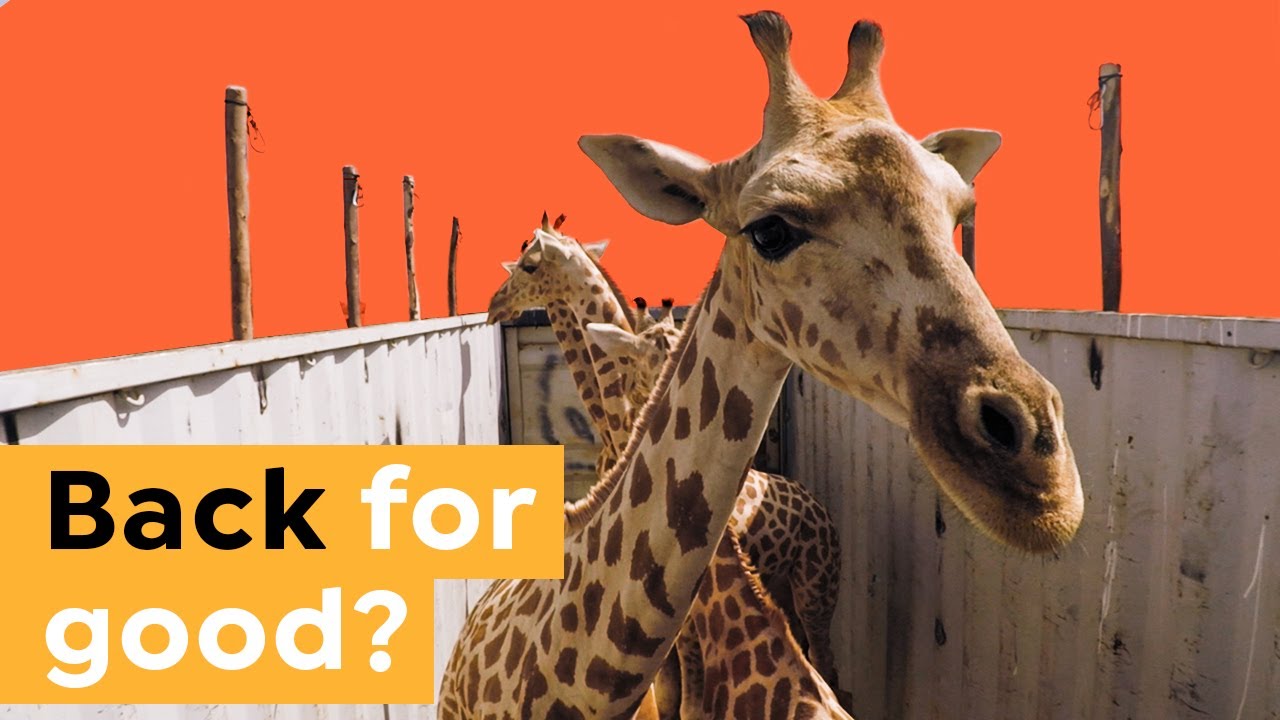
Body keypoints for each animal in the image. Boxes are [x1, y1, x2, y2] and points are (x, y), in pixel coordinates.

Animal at [586, 319, 849, 715]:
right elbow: (665, 692)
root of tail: (822, 510)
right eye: (647, 355)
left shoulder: (683, 622)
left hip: (816, 590)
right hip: (784, 589)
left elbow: (684, 703)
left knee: (825, 663)